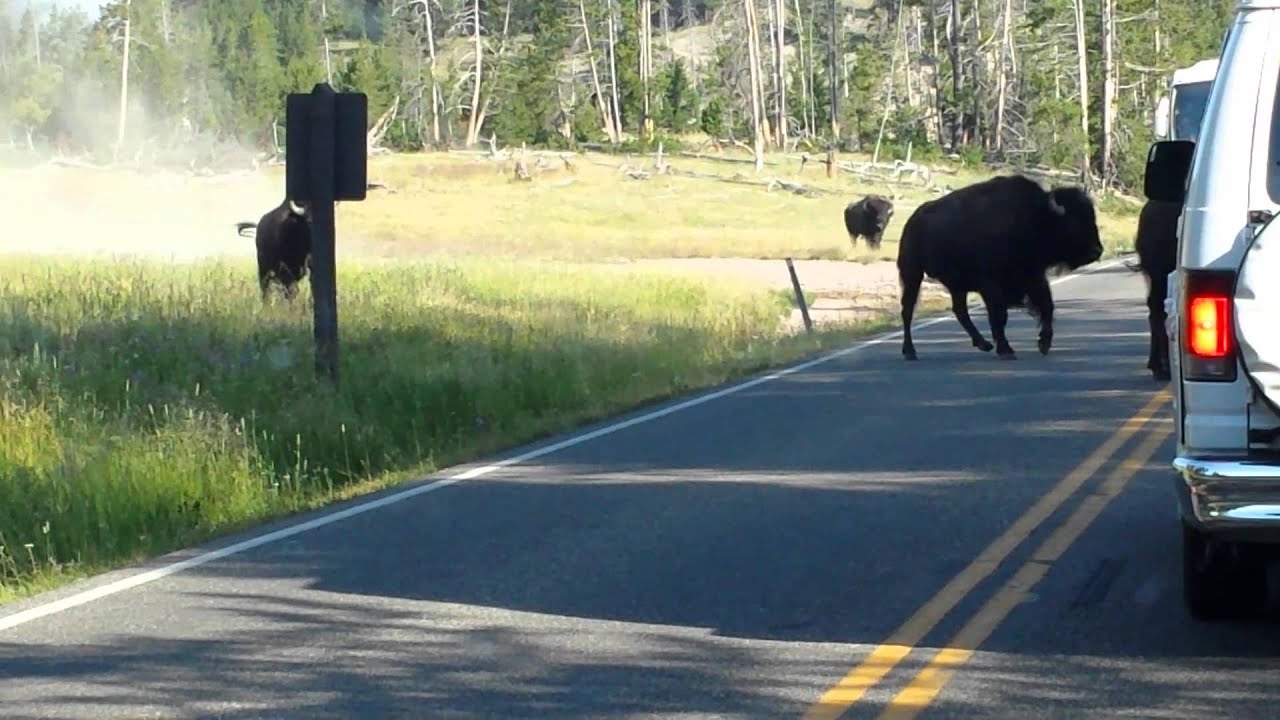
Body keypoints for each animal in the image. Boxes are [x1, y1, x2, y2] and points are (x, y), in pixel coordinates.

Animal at [897, 174, 1104, 361]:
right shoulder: (992, 285)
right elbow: (999, 316)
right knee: (908, 310)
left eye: (1092, 217)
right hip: (912, 274)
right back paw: (910, 352)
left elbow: (1047, 306)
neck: (1035, 215)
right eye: (1074, 222)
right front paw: (1006, 350)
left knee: (960, 311)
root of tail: (912, 221)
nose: (1097, 251)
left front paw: (1044, 344)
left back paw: (983, 344)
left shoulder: (1034, 277)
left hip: (956, 286)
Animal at [1126, 199, 1182, 381]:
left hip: (1154, 275)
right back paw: (1162, 368)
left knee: (1154, 310)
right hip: (1160, 274)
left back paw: (1156, 365)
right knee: (1158, 311)